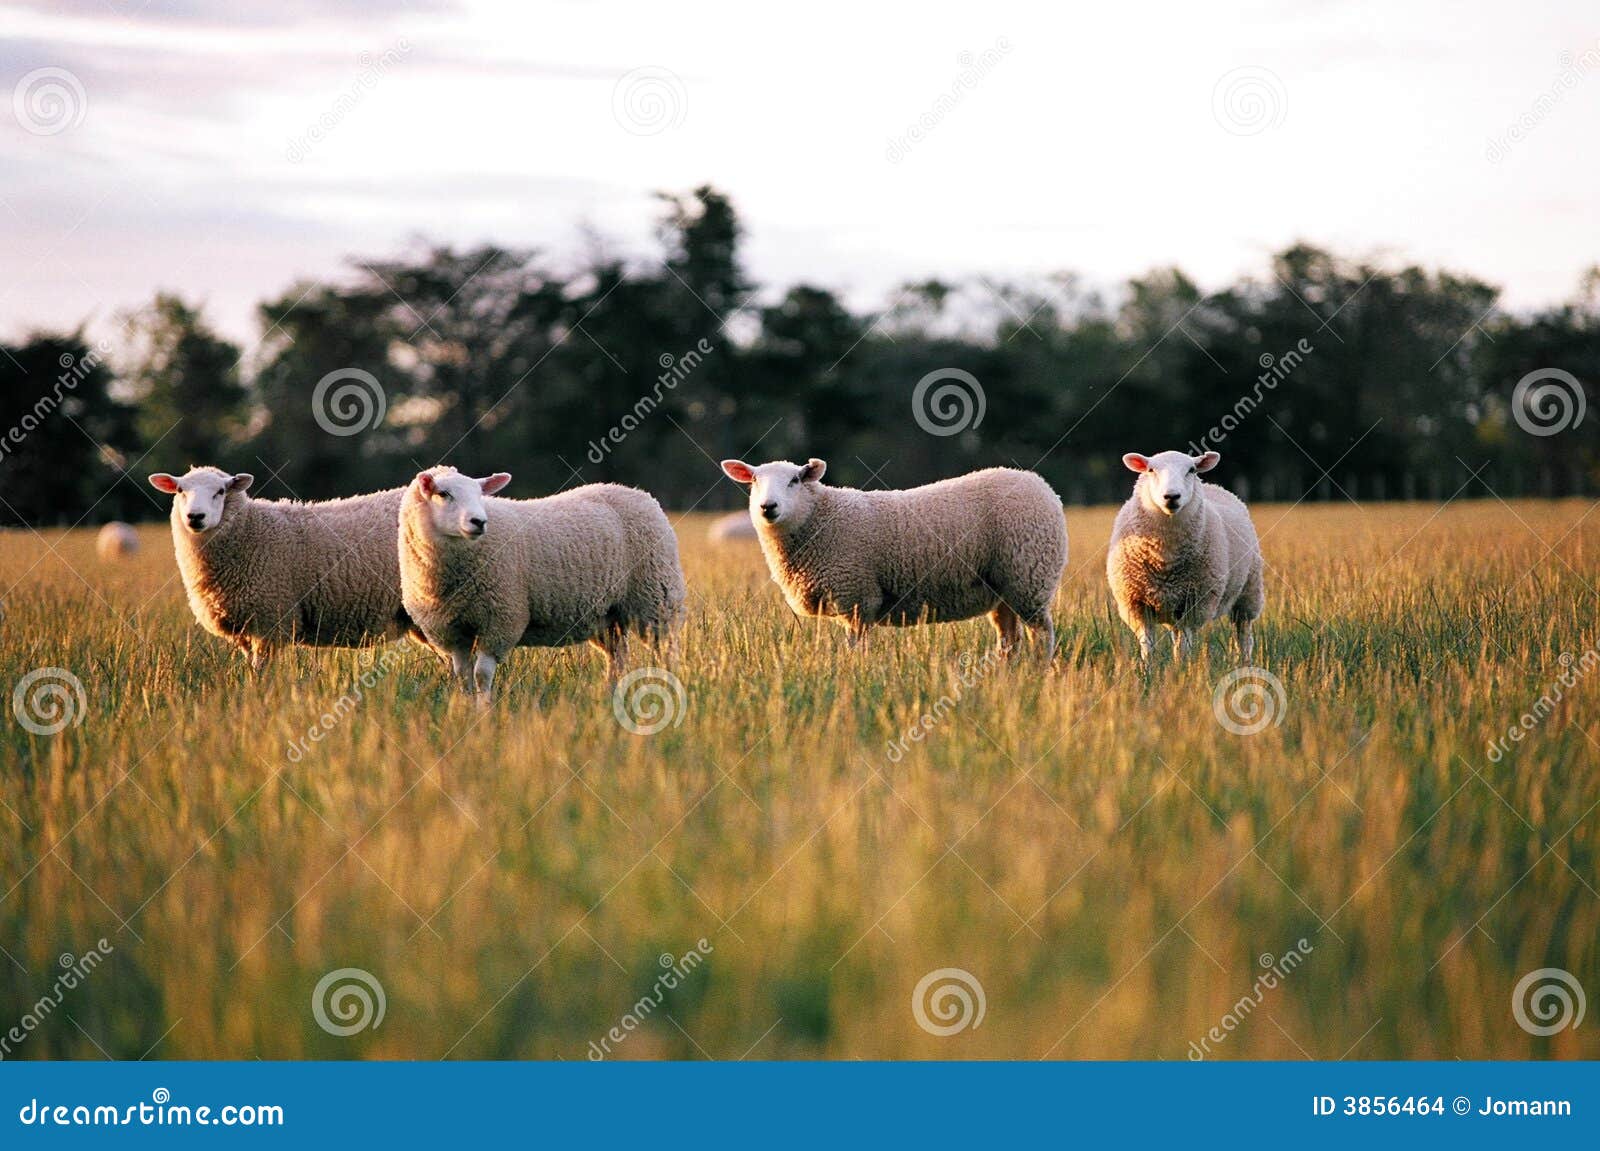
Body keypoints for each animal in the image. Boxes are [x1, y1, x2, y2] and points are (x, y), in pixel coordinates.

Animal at [147, 467, 420, 673]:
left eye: (220, 491)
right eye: (180, 490)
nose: (195, 516)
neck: (249, 530)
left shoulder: (270, 620)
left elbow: (260, 671)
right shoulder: (246, 628)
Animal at [398, 467, 686, 697]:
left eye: (480, 495)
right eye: (443, 494)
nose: (479, 521)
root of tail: (640, 494)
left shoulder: (501, 620)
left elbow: (482, 675)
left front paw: (484, 712)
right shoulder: (452, 631)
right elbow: (463, 676)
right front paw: (465, 707)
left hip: (656, 600)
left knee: (667, 652)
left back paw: (668, 685)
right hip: (609, 615)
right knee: (617, 656)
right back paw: (611, 692)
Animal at [718, 457, 1067, 656]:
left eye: (794, 480)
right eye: (754, 481)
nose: (768, 507)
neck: (820, 518)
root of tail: (1044, 487)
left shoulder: (857, 598)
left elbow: (855, 650)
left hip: (1029, 577)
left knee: (1042, 635)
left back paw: (1037, 673)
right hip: (1003, 589)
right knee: (1009, 638)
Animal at [1106, 449, 1264, 663]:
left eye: (1191, 470)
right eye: (1151, 470)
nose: (1172, 496)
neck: (1165, 558)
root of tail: (1214, 486)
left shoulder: (1195, 605)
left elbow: (1184, 647)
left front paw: (1183, 668)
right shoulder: (1137, 605)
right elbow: (1148, 647)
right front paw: (1148, 669)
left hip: (1248, 593)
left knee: (1243, 635)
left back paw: (1245, 662)